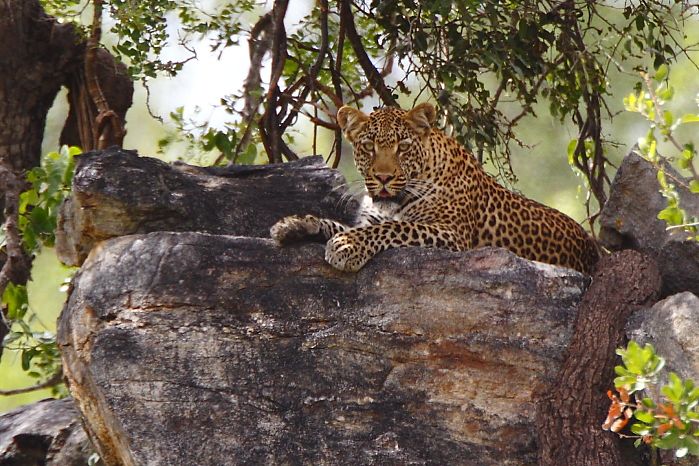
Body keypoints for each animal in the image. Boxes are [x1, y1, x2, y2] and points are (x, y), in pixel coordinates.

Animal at [270, 102, 599, 274]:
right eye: (368, 146)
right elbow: (339, 224)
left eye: (403, 147)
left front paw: (347, 246)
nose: (384, 177)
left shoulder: (451, 234)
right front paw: (294, 224)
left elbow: (393, 228)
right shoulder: (369, 218)